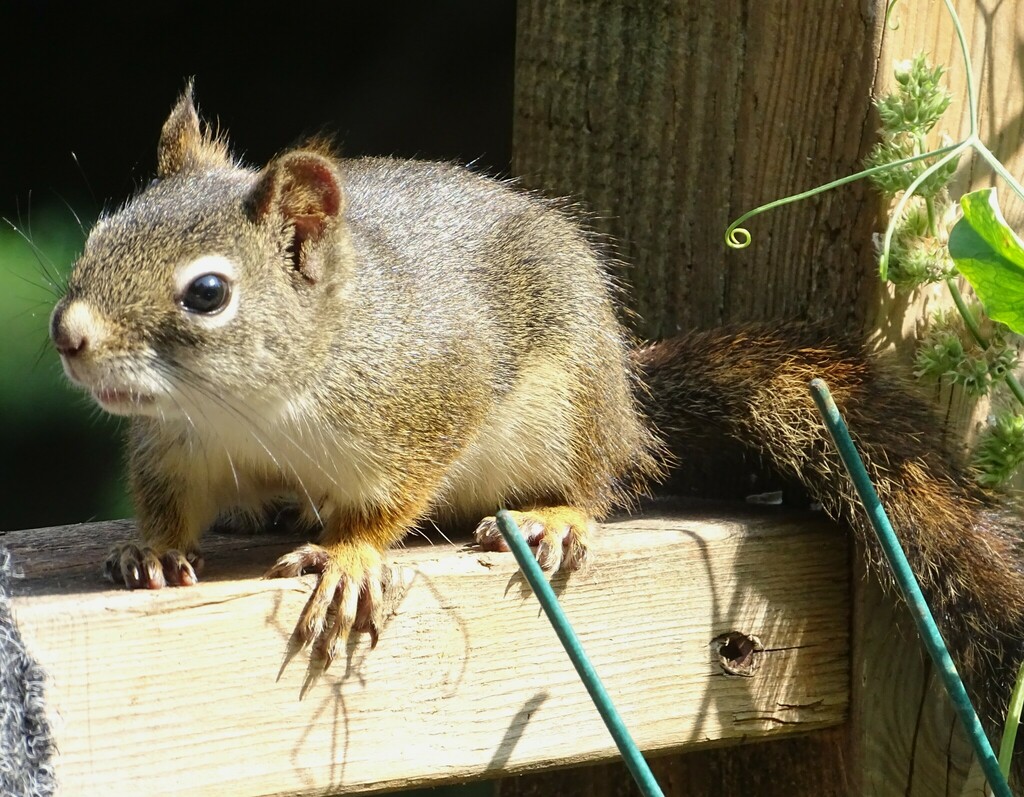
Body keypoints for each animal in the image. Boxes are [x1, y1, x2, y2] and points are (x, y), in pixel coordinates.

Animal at [50, 87, 1024, 751]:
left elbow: (391, 500)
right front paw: (153, 548)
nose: (69, 334)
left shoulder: (425, 399)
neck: (247, 409)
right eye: (97, 238)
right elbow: (169, 501)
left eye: (208, 292)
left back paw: (555, 516)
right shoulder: (179, 447)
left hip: (572, 411)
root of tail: (629, 404)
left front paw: (350, 557)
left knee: (598, 482)